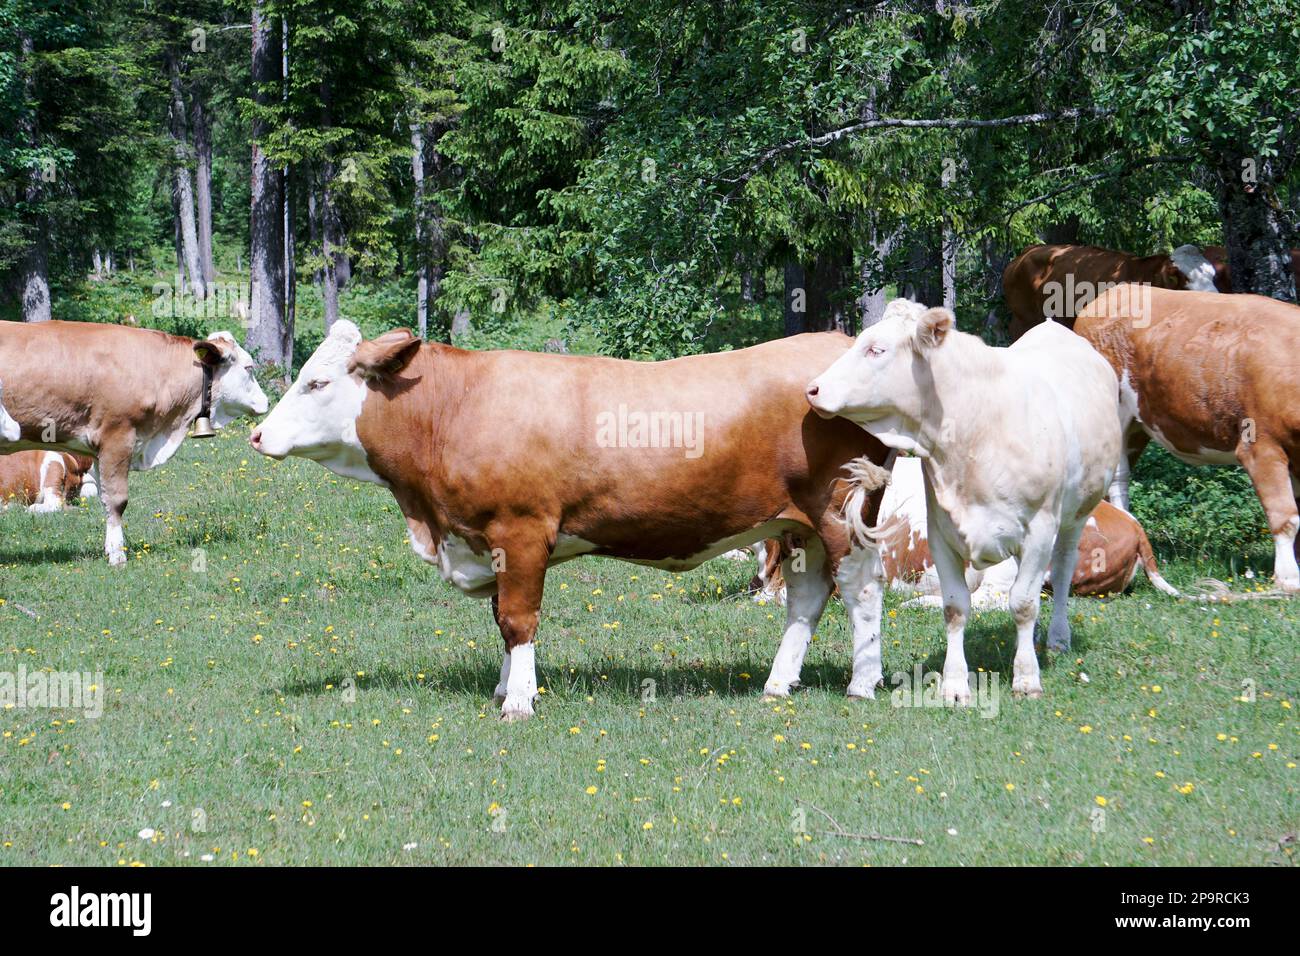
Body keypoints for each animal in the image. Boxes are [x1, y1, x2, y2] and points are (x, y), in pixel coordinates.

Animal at [0, 321, 268, 564]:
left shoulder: (99, 451)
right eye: (249, 367)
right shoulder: (117, 437)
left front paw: (110, 548)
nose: (265, 401)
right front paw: (118, 556)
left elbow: (105, 499)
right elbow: (117, 500)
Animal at [250, 320, 893, 720]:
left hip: (841, 514)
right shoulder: (489, 540)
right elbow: (500, 620)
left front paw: (518, 701)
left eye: (317, 381)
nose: (257, 435)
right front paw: (504, 687)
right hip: (801, 527)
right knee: (806, 599)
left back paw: (862, 684)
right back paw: (778, 683)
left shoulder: (520, 530)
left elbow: (517, 619)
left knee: (862, 590)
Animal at [806, 298, 1121, 702]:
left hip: (1075, 516)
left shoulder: (1039, 530)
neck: (976, 431)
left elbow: (1023, 604)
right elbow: (956, 607)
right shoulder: (942, 532)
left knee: (1062, 571)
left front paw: (1026, 678)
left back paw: (1057, 638)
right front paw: (954, 684)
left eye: (877, 349)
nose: (812, 388)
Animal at [1074, 283, 1300, 592]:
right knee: (1118, 478)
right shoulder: (1260, 446)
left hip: (1137, 424)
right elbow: (1286, 516)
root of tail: (1119, 290)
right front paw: (1289, 579)